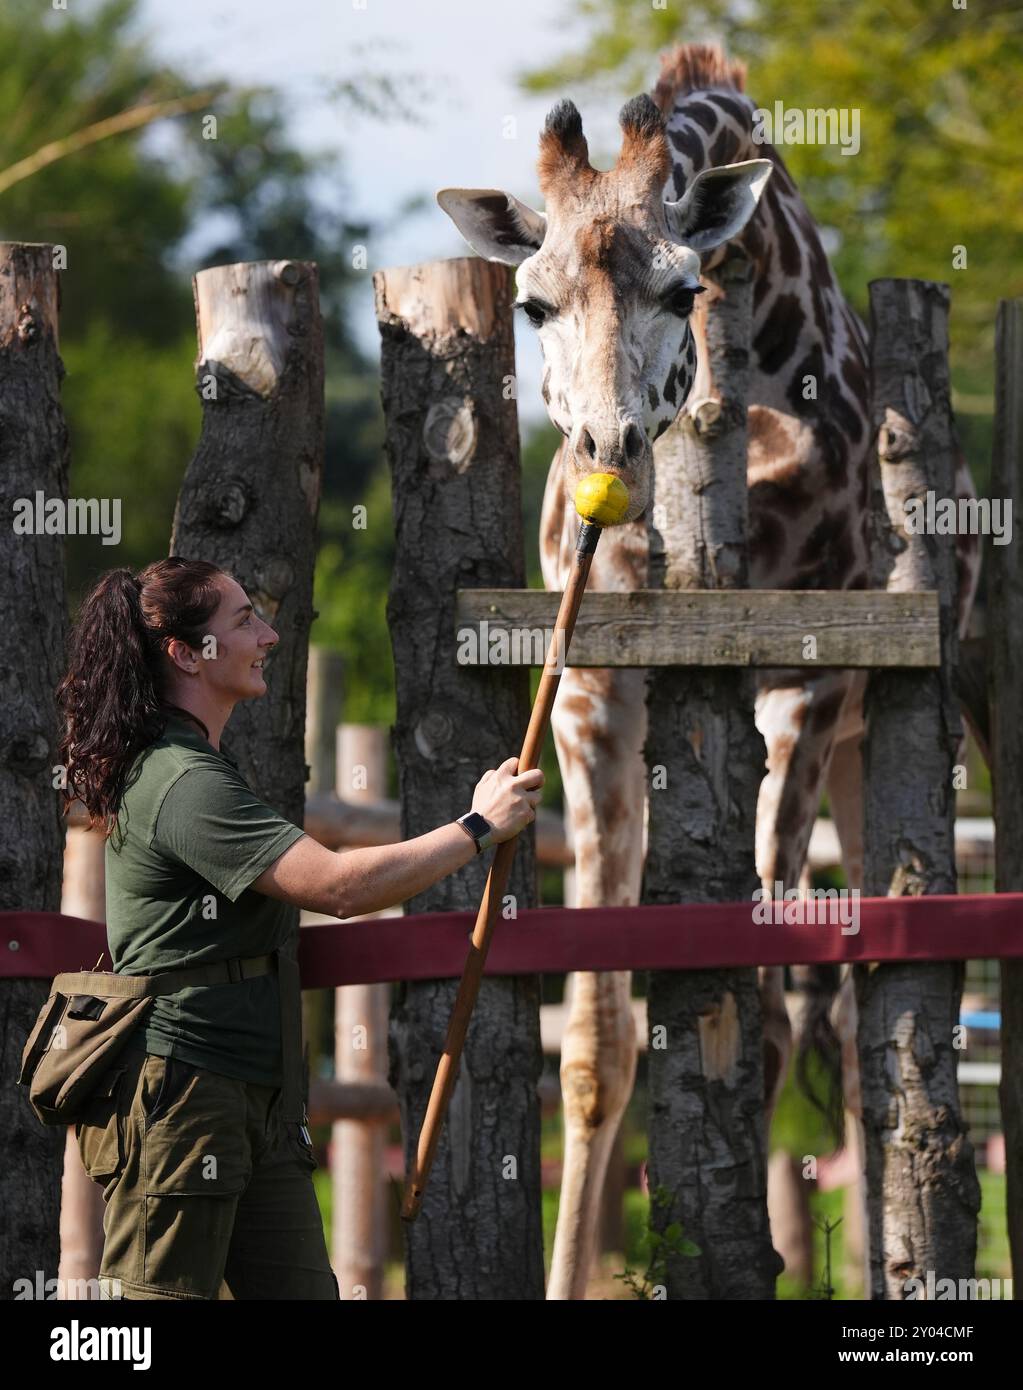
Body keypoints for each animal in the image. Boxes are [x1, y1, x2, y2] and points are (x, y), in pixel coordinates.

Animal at [438, 42, 980, 1299]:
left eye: (682, 292)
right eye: (532, 303)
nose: (609, 457)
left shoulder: (805, 682)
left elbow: (763, 995)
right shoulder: (593, 698)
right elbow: (597, 1038)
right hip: (866, 751)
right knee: (862, 1026)